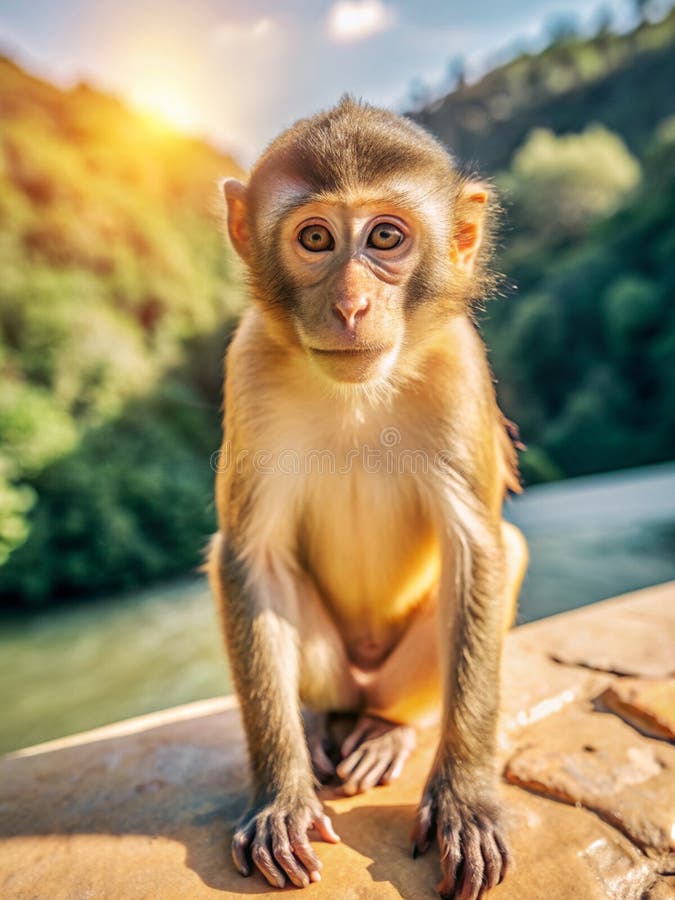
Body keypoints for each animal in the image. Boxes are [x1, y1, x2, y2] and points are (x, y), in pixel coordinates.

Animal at [207, 97, 528, 899]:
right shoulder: (248, 364)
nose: (352, 304)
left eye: (385, 236)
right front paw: (279, 796)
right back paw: (324, 727)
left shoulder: (457, 365)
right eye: (315, 238)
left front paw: (465, 798)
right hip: (334, 667)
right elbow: (248, 556)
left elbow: (477, 548)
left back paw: (387, 732)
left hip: (397, 678)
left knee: (500, 555)